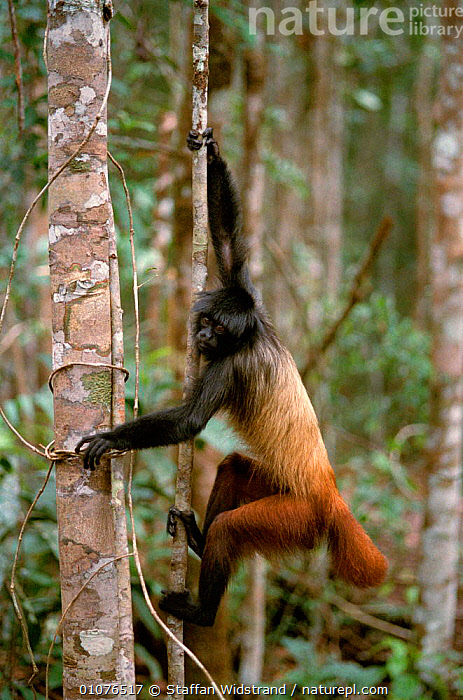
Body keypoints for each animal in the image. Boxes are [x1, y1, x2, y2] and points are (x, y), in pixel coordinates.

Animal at [76, 128, 387, 627]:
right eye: (207, 323)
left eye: (218, 331)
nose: (202, 335)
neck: (250, 336)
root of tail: (329, 491)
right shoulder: (252, 302)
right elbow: (226, 244)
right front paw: (210, 150)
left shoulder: (230, 364)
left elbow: (189, 422)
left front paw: (111, 438)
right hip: (276, 489)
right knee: (233, 465)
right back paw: (198, 540)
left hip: (294, 517)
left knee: (232, 527)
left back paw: (202, 609)